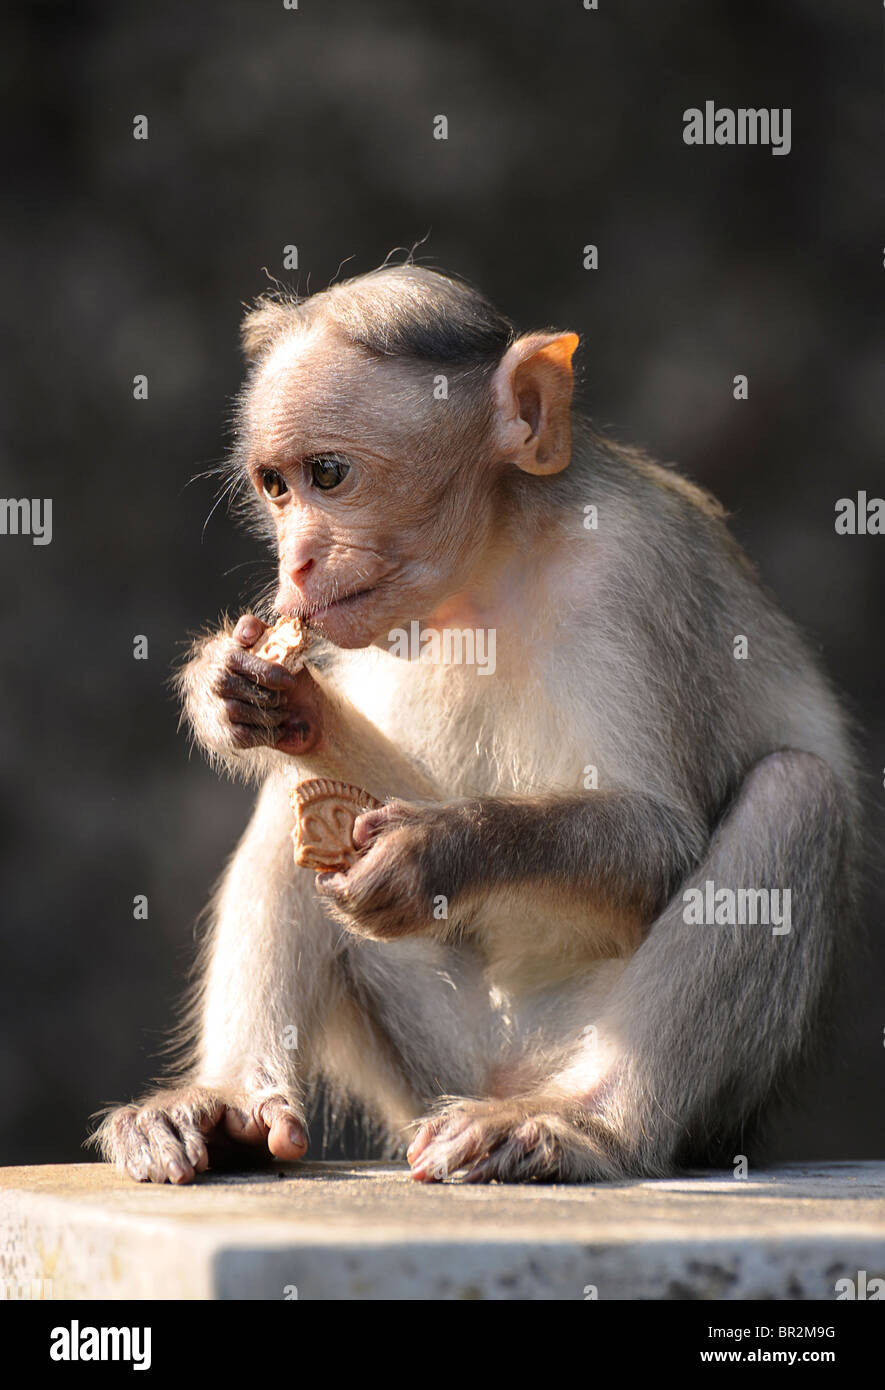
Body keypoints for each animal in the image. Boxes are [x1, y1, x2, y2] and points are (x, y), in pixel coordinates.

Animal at [94, 263, 861, 1186]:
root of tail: (509, 1066)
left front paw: (439, 848)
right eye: (275, 486)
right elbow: (332, 787)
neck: (489, 568)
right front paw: (262, 700)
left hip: (678, 1088)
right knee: (288, 811)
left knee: (796, 794)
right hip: (429, 1056)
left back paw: (580, 1121)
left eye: (328, 474)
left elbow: (665, 839)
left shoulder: (627, 574)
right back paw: (231, 1102)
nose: (295, 564)